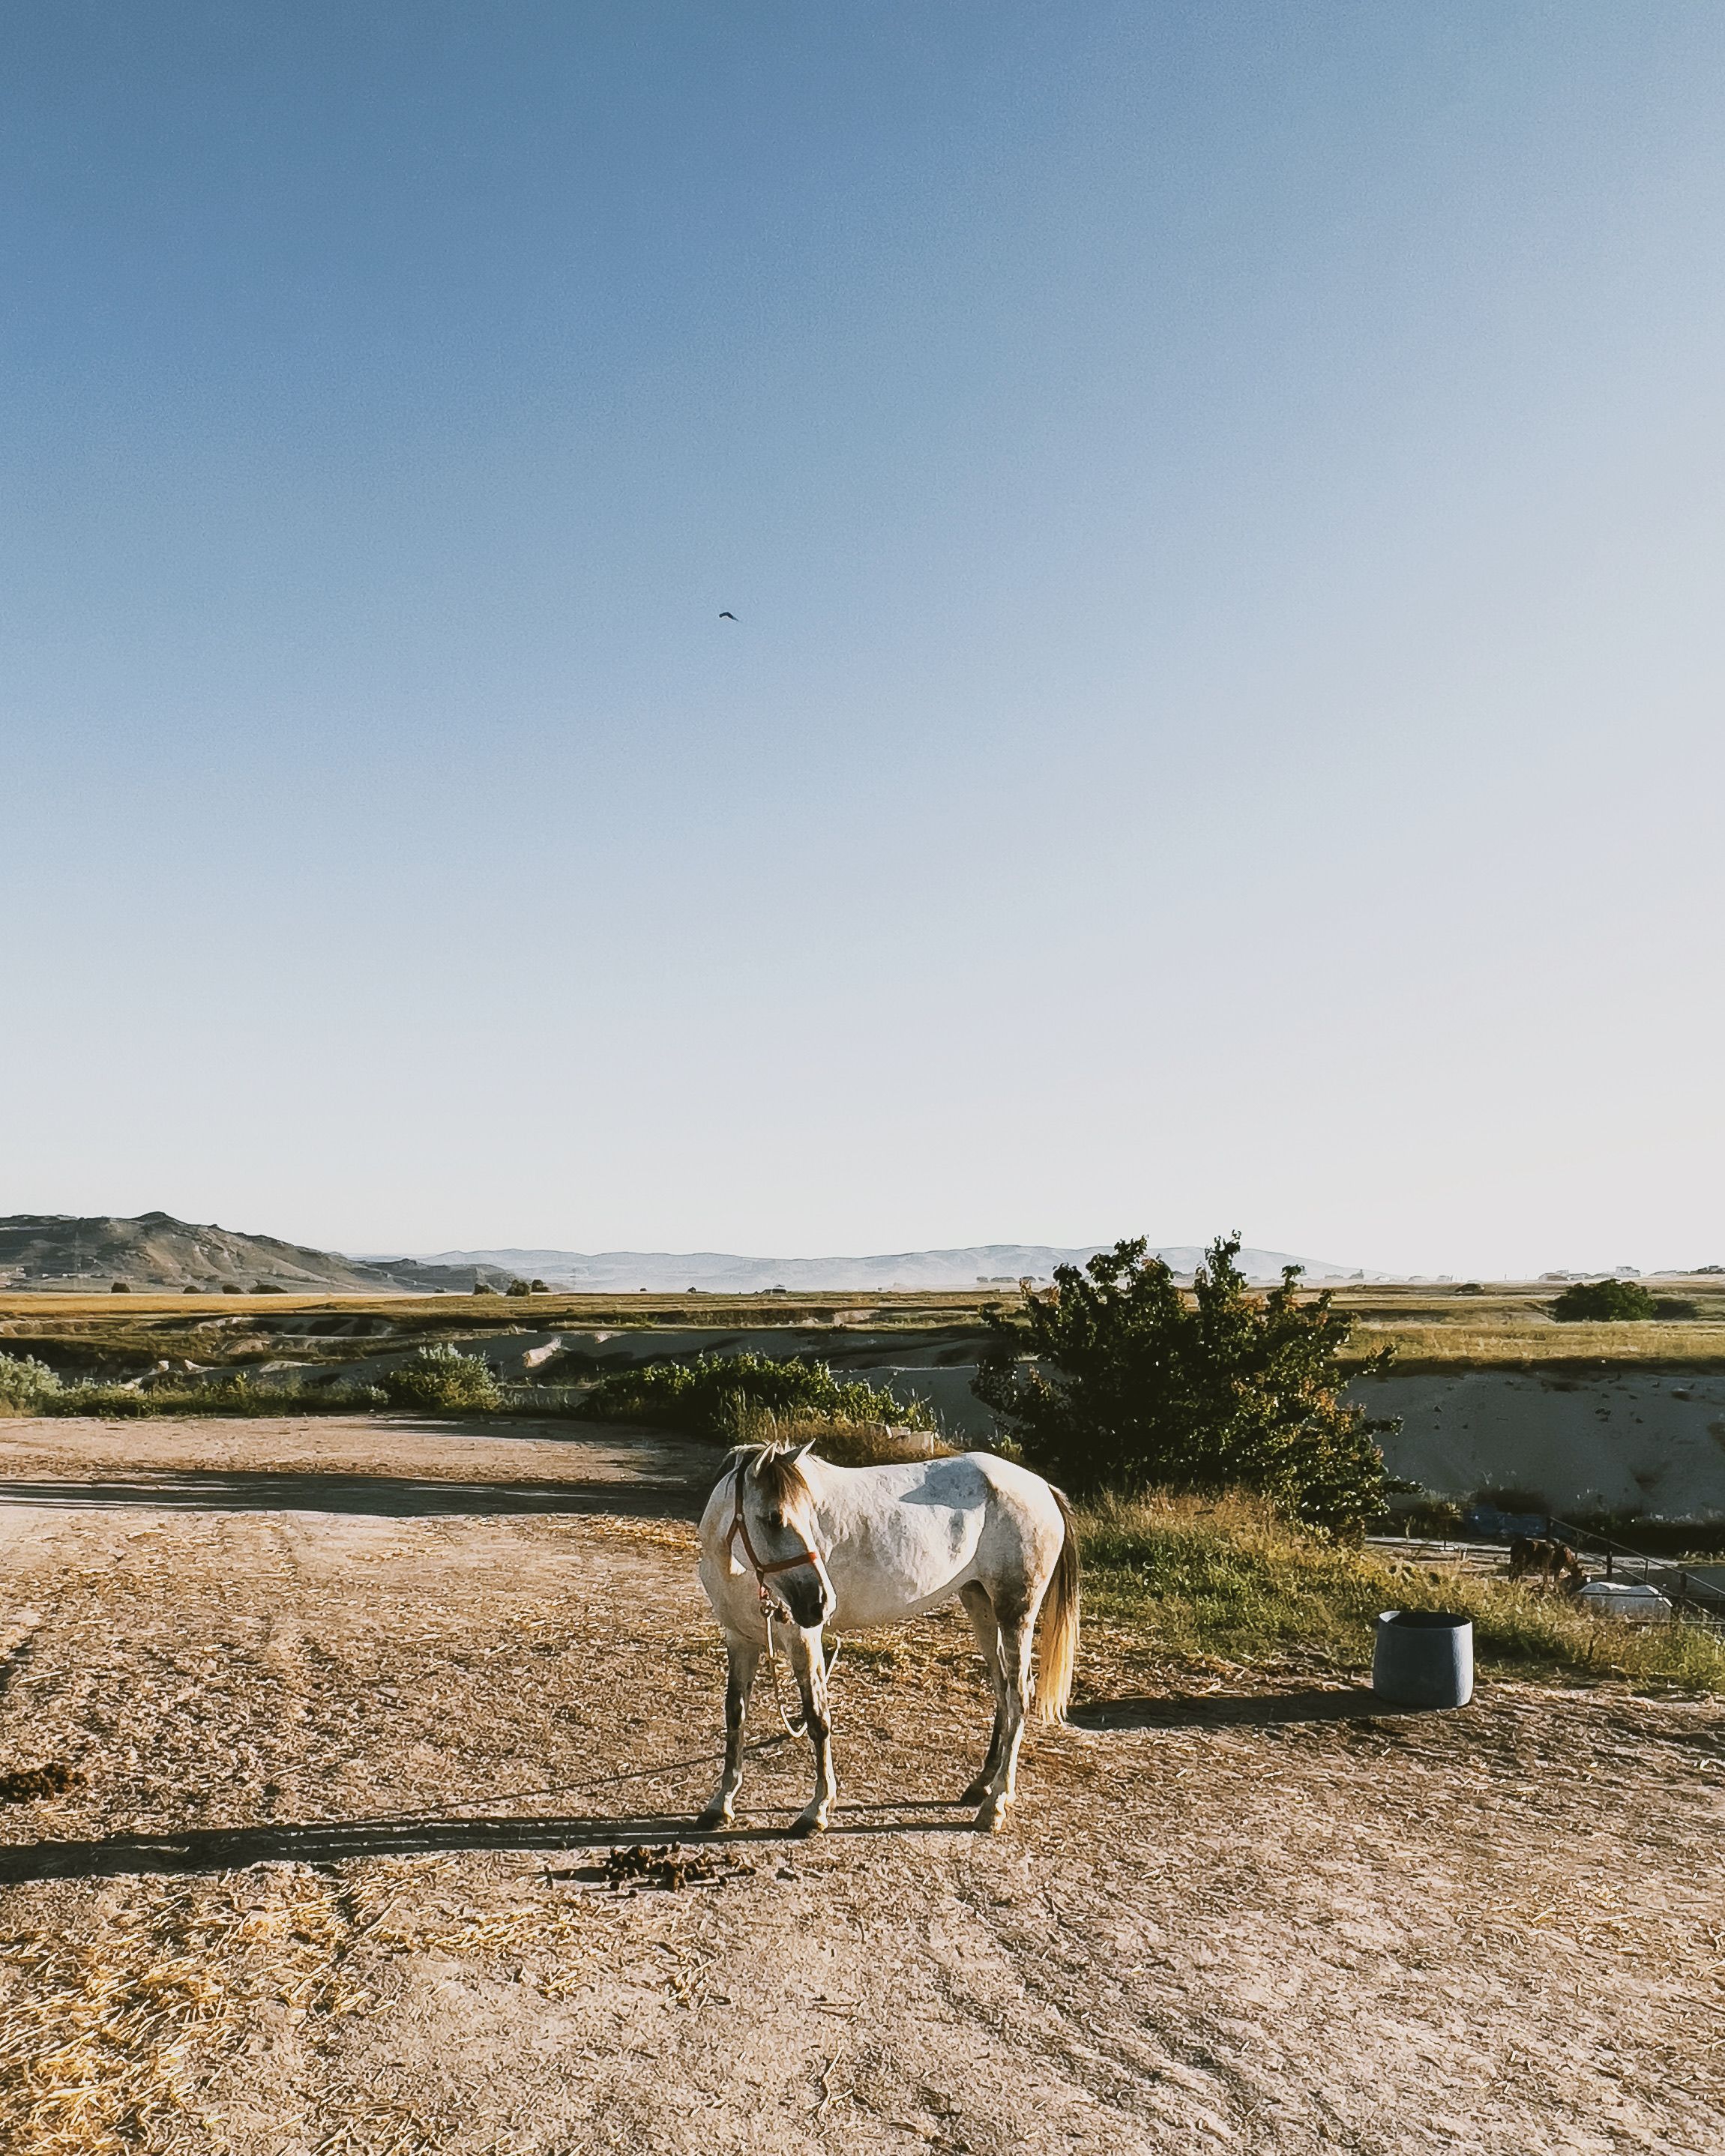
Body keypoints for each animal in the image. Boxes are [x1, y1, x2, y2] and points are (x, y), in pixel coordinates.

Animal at [695, 1440, 1080, 1835]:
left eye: (809, 1515)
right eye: (774, 1518)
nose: (821, 1603)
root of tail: (1042, 1488)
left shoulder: (804, 1639)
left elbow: (817, 1718)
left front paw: (817, 1809)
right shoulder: (740, 1639)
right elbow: (735, 1715)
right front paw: (721, 1804)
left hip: (1015, 1614)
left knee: (1019, 1696)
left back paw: (997, 1804)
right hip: (980, 1605)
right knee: (1002, 1690)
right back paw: (981, 1785)